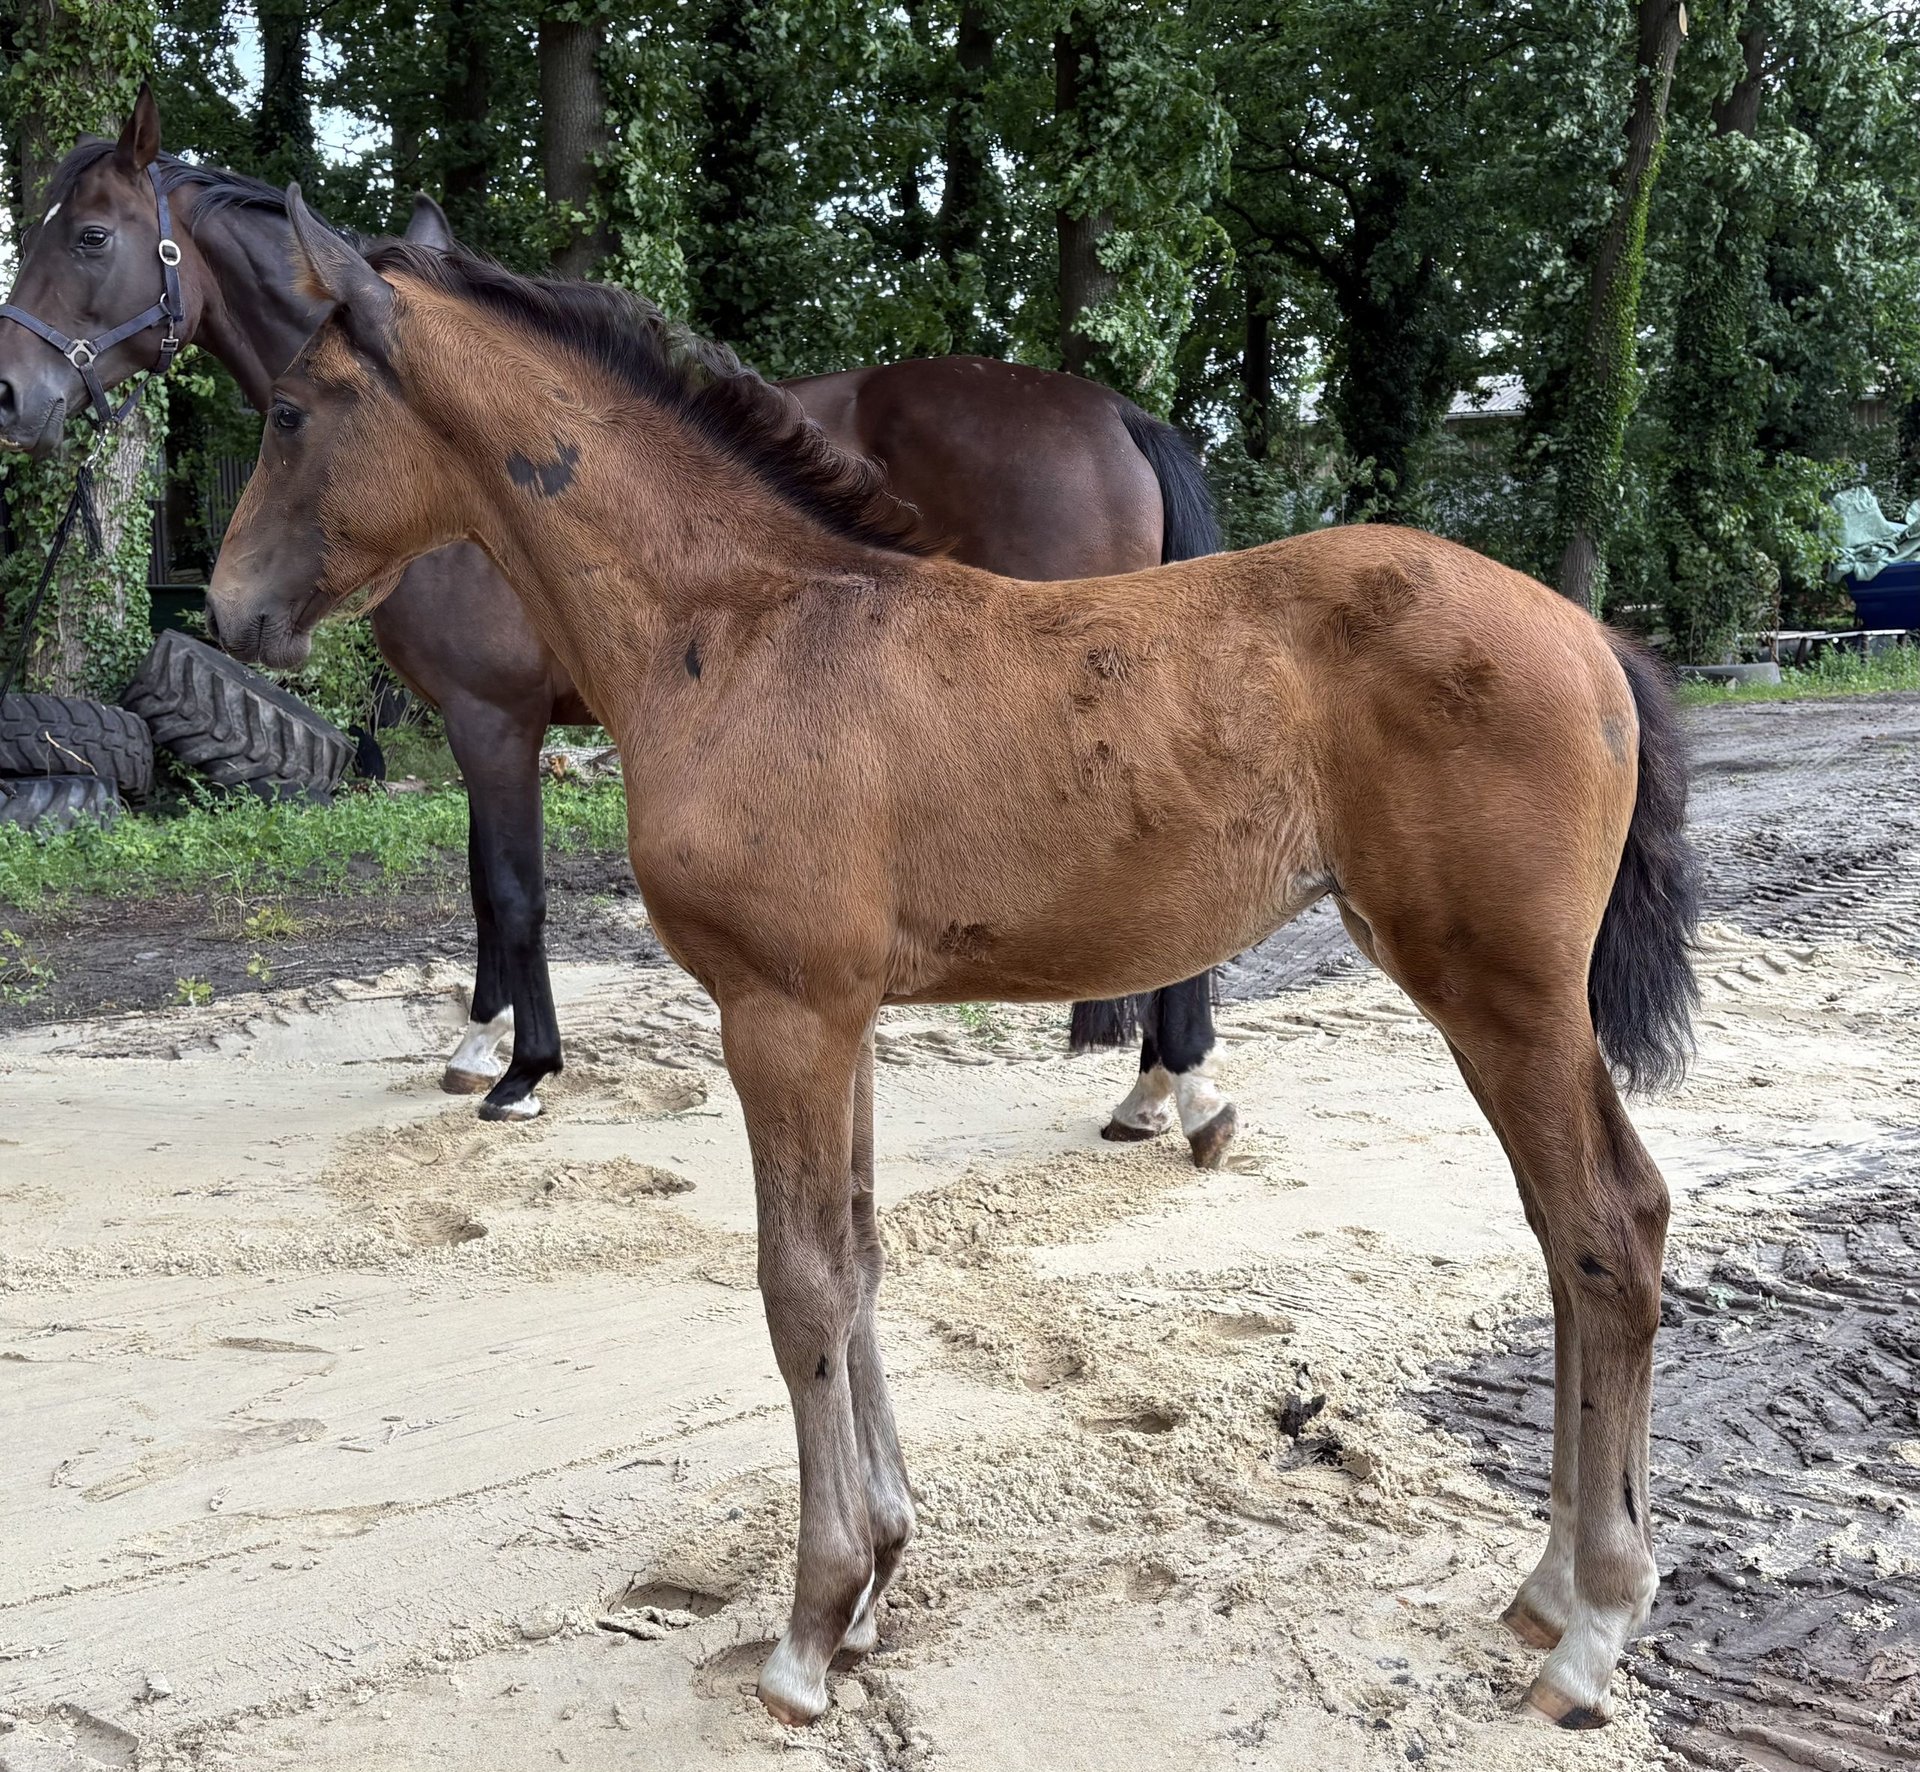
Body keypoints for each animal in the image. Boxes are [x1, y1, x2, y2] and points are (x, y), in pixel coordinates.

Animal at [0, 89, 1234, 1163]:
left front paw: (522, 1071)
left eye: (93, 236)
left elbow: (512, 887)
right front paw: (478, 1038)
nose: (14, 396)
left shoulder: (492, 716)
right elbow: (478, 879)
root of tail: (1116, 413)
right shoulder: (481, 722)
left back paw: (1168, 1088)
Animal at [205, 193, 1700, 1732]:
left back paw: (1593, 1626)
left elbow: (797, 1281)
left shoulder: (777, 1011)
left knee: (1609, 1225)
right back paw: (1548, 1593)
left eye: (288, 411)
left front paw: (809, 1628)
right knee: (1571, 1229)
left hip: (1504, 991)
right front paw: (876, 1575)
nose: (227, 606)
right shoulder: (841, 1013)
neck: (739, 629)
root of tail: (1591, 637)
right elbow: (857, 1259)